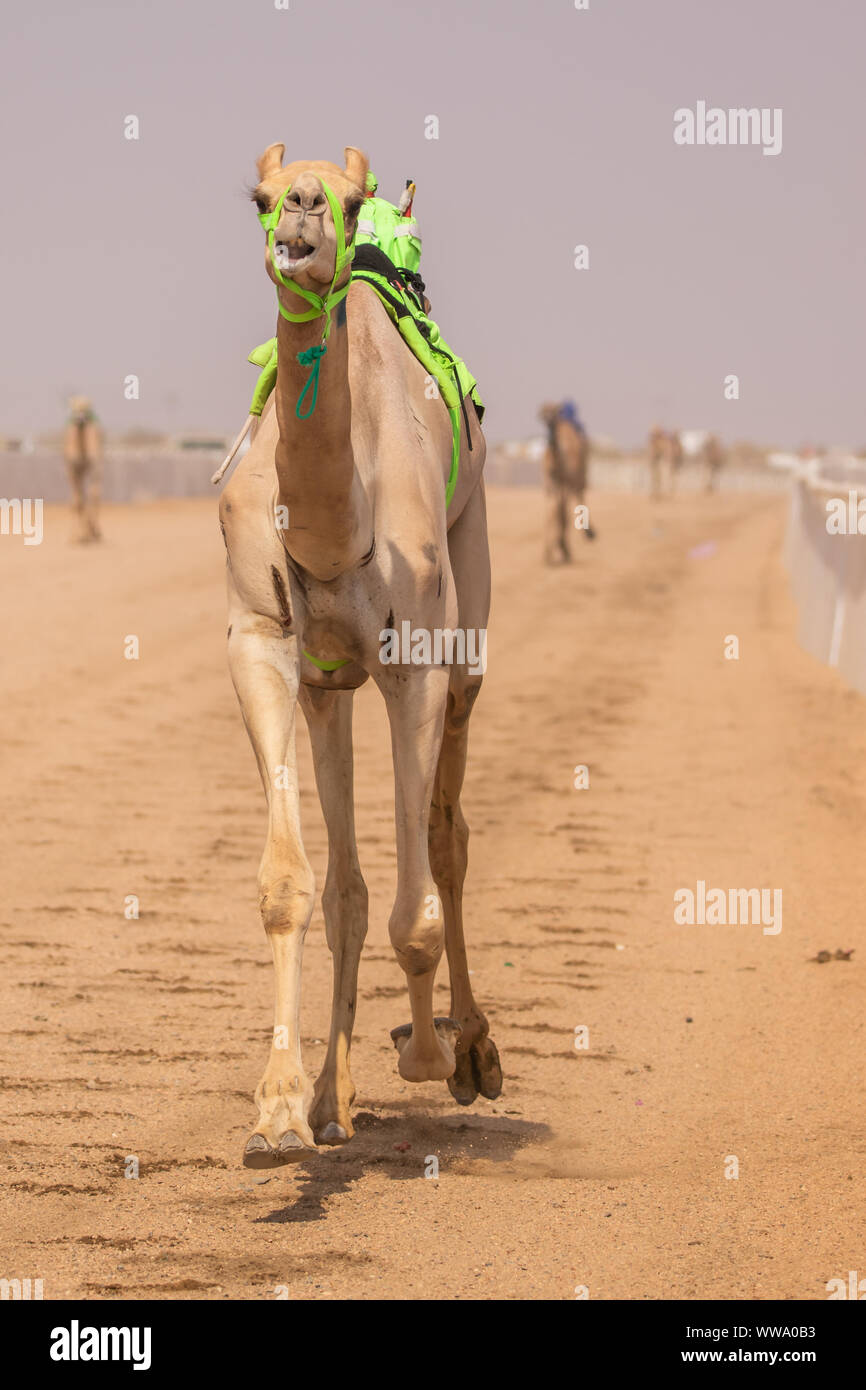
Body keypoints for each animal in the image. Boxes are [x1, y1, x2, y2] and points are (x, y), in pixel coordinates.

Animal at [62, 396, 103, 542]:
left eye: (86, 407)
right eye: (73, 407)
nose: (79, 419)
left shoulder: (93, 466)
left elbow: (92, 495)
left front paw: (93, 531)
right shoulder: (72, 469)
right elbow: (78, 500)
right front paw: (81, 536)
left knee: (95, 495)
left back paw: (95, 531)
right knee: (77, 498)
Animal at [219, 143, 502, 1166]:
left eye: (344, 201)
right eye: (261, 197)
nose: (301, 211)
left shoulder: (415, 661)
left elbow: (417, 908)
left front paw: (426, 1055)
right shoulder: (263, 646)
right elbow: (291, 886)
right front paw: (276, 1110)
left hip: (469, 612)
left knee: (448, 836)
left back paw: (472, 1051)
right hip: (328, 687)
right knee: (347, 880)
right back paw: (335, 1102)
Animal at [539, 400, 594, 564]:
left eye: (554, 412)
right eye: (543, 413)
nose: (548, 421)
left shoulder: (567, 482)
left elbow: (561, 512)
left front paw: (563, 549)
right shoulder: (550, 483)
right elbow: (552, 511)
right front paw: (550, 552)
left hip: (579, 476)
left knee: (578, 494)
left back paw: (589, 534)